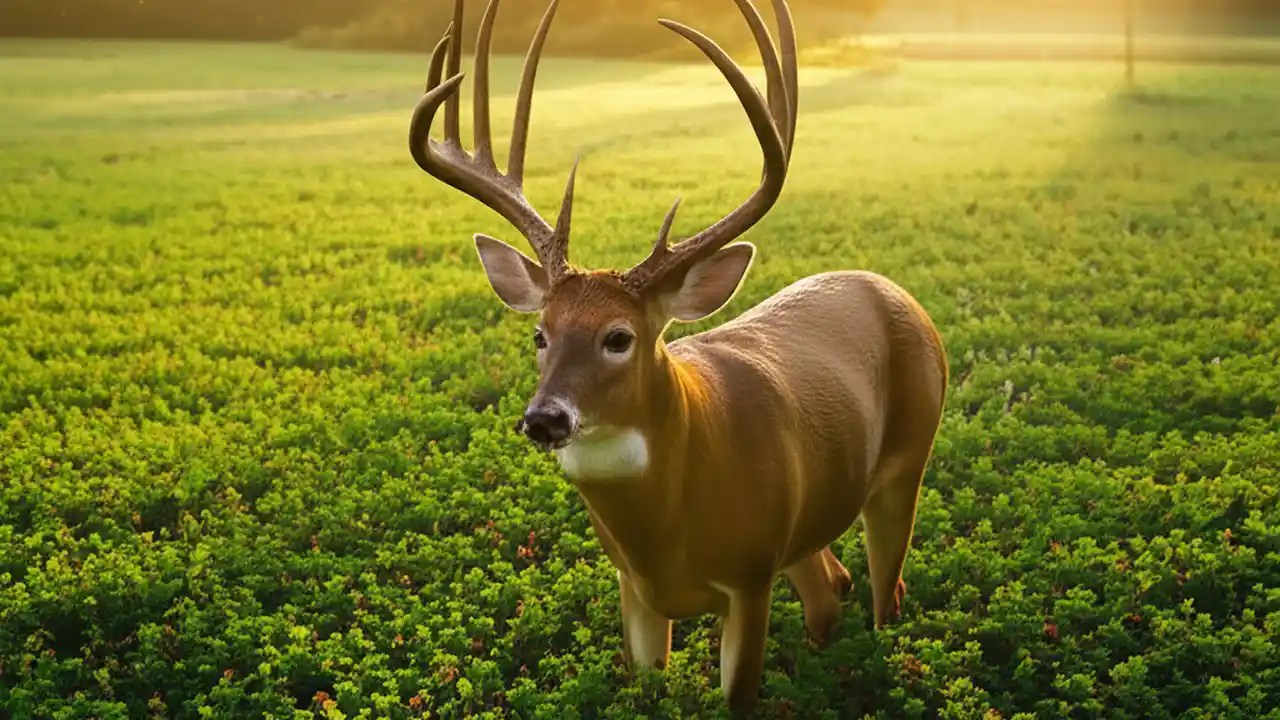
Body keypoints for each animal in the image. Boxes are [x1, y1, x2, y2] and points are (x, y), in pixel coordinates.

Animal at [408, 0, 948, 713]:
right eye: (540, 334)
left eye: (619, 337)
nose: (544, 419)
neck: (666, 532)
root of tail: (894, 289)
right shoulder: (634, 588)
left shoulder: (749, 577)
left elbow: (738, 697)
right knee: (832, 588)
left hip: (907, 462)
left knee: (888, 593)